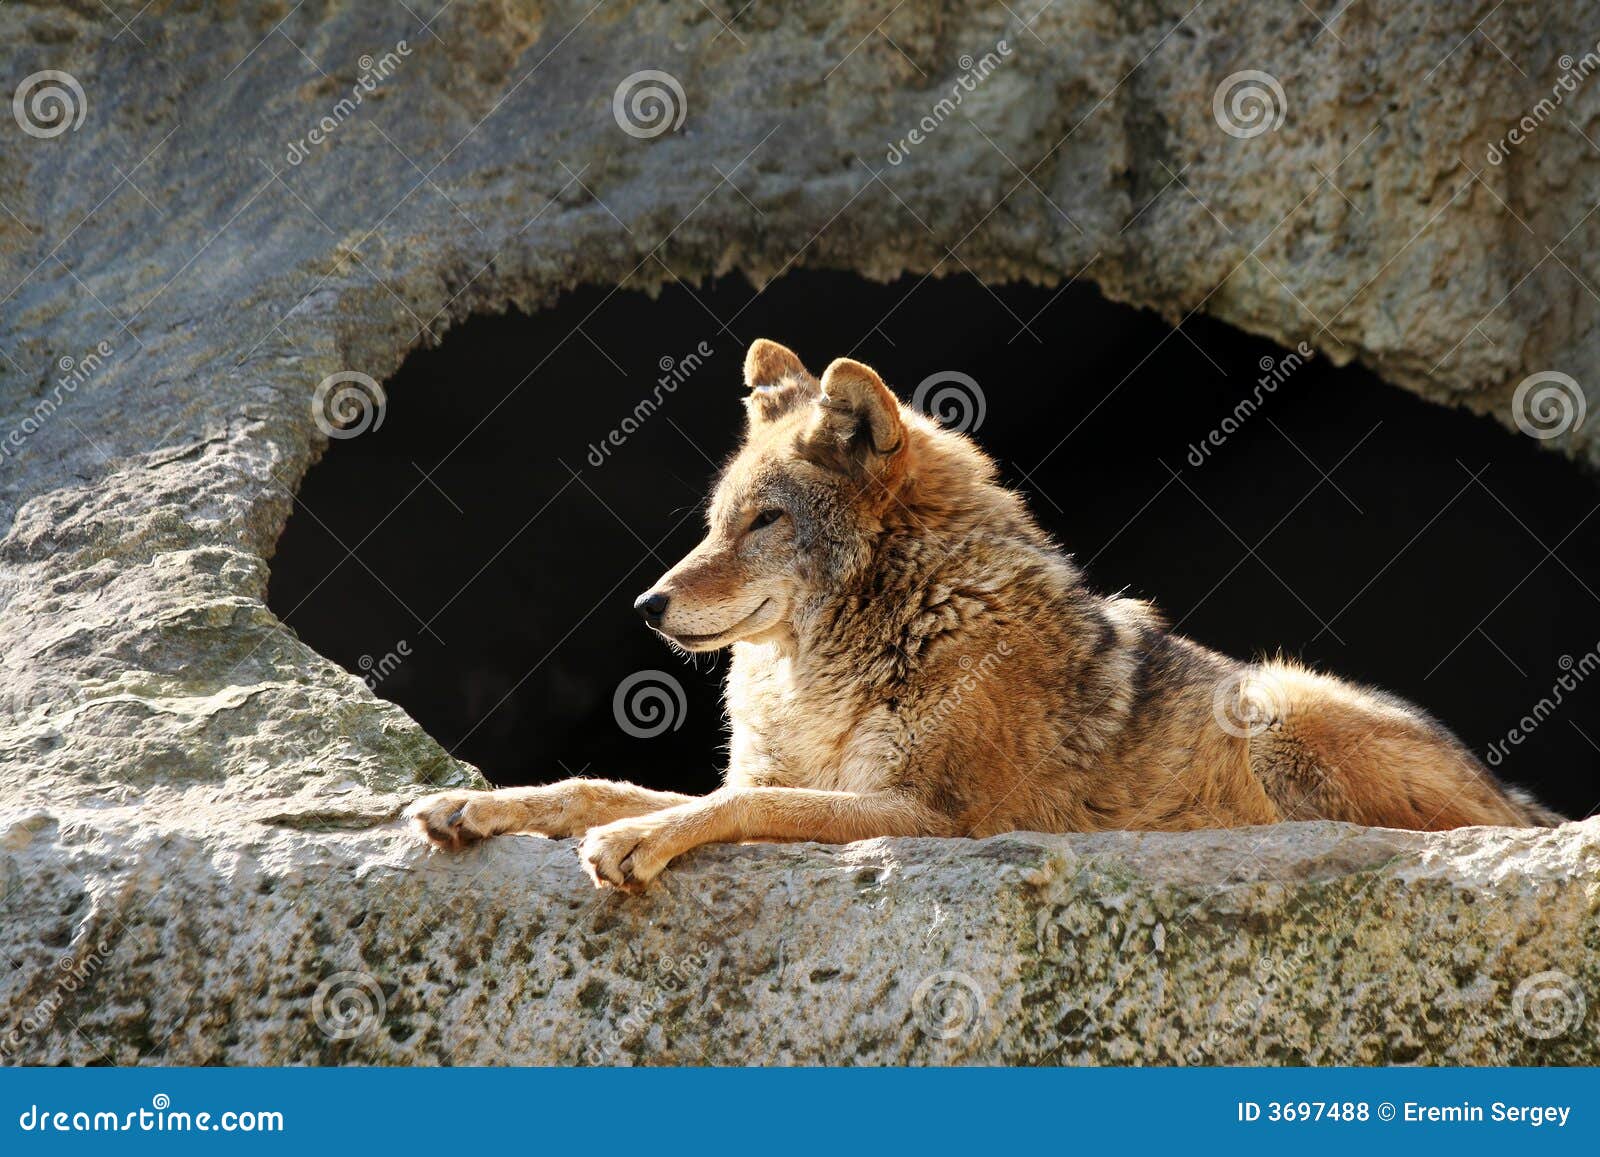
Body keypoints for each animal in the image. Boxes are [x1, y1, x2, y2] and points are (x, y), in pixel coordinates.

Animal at [410, 339, 1562, 890]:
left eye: (765, 522)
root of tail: (1529, 806)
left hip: (1277, 707)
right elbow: (598, 784)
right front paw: (478, 805)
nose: (648, 605)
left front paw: (642, 837)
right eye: (715, 522)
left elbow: (736, 806)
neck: (824, 668)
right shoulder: (788, 775)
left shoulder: (936, 817)